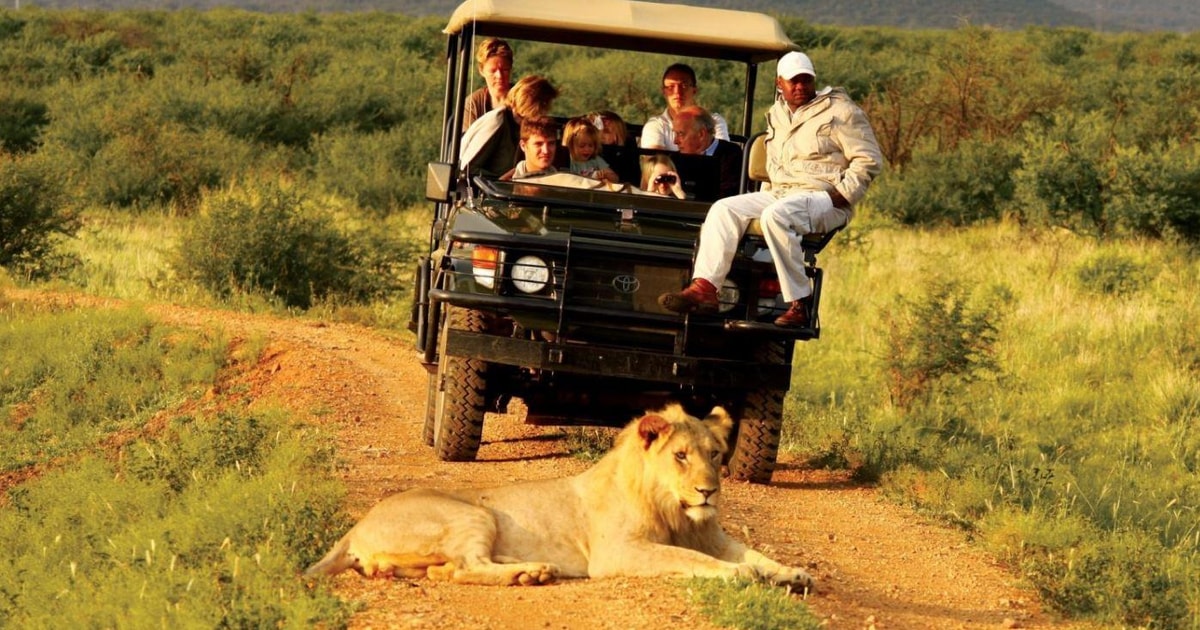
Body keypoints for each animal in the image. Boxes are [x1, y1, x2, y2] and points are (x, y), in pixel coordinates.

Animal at [304, 404, 813, 589]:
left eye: (715, 454)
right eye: (681, 457)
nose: (710, 491)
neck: (677, 512)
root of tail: (356, 525)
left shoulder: (713, 537)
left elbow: (755, 553)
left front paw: (792, 573)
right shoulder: (618, 552)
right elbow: (694, 560)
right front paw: (741, 574)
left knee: (447, 571)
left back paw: (533, 570)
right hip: (474, 516)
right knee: (467, 567)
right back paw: (530, 573)